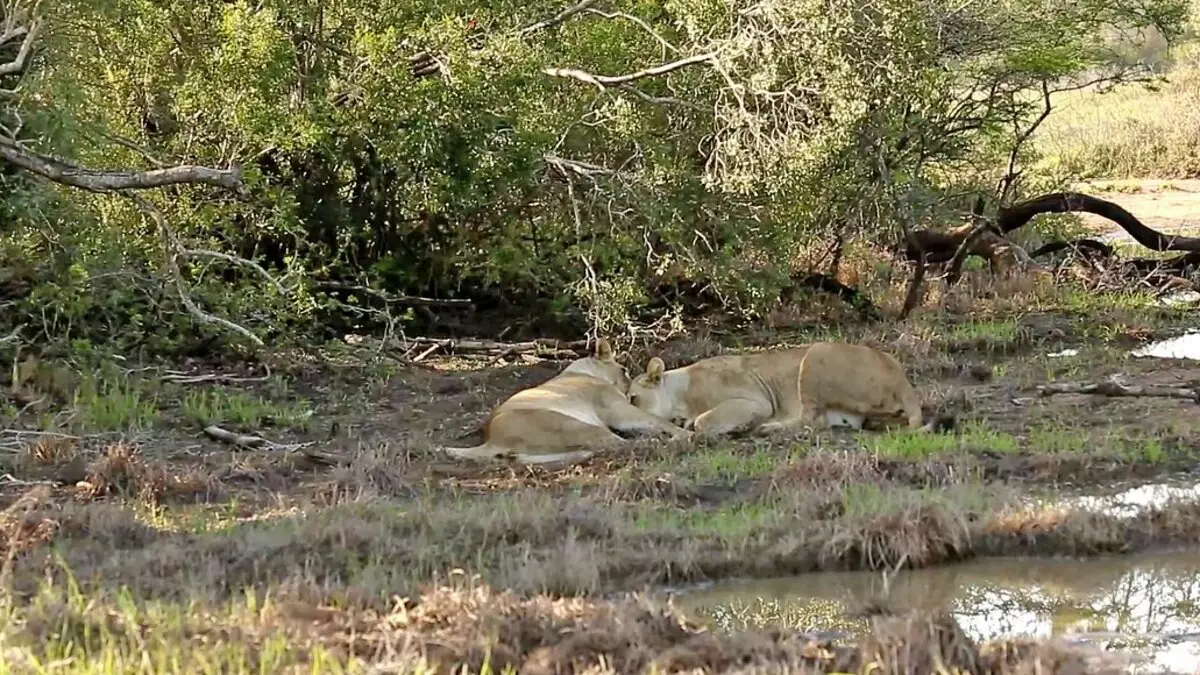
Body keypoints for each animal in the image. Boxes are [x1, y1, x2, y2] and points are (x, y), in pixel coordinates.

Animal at [436, 336, 691, 461]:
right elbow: (655, 420)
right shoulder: (617, 409)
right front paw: (683, 432)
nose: (630, 387)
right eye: (624, 371)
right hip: (573, 425)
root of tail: (492, 439)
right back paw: (658, 442)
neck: (583, 370)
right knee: (617, 444)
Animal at [628, 338, 955, 432]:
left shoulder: (755, 400)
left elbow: (705, 420)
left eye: (632, 398)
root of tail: (901, 376)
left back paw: (765, 428)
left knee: (811, 420)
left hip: (816, 354)